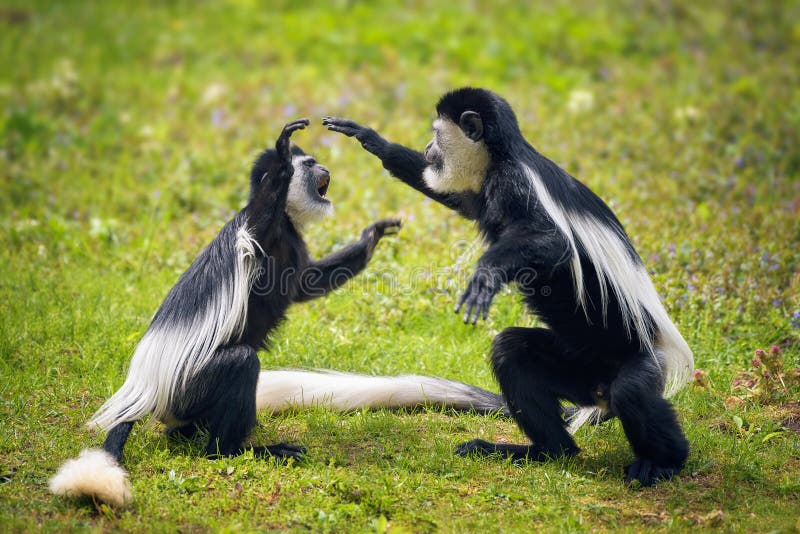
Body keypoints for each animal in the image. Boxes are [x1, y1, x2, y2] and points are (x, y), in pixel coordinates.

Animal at [323, 87, 694, 486]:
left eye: (437, 135)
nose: (427, 148)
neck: (505, 156)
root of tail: (600, 395)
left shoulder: (513, 183)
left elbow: (553, 241)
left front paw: (485, 276)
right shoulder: (482, 190)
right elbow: (458, 200)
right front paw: (374, 141)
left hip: (645, 360)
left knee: (633, 393)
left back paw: (664, 462)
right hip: (577, 370)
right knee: (512, 352)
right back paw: (541, 451)